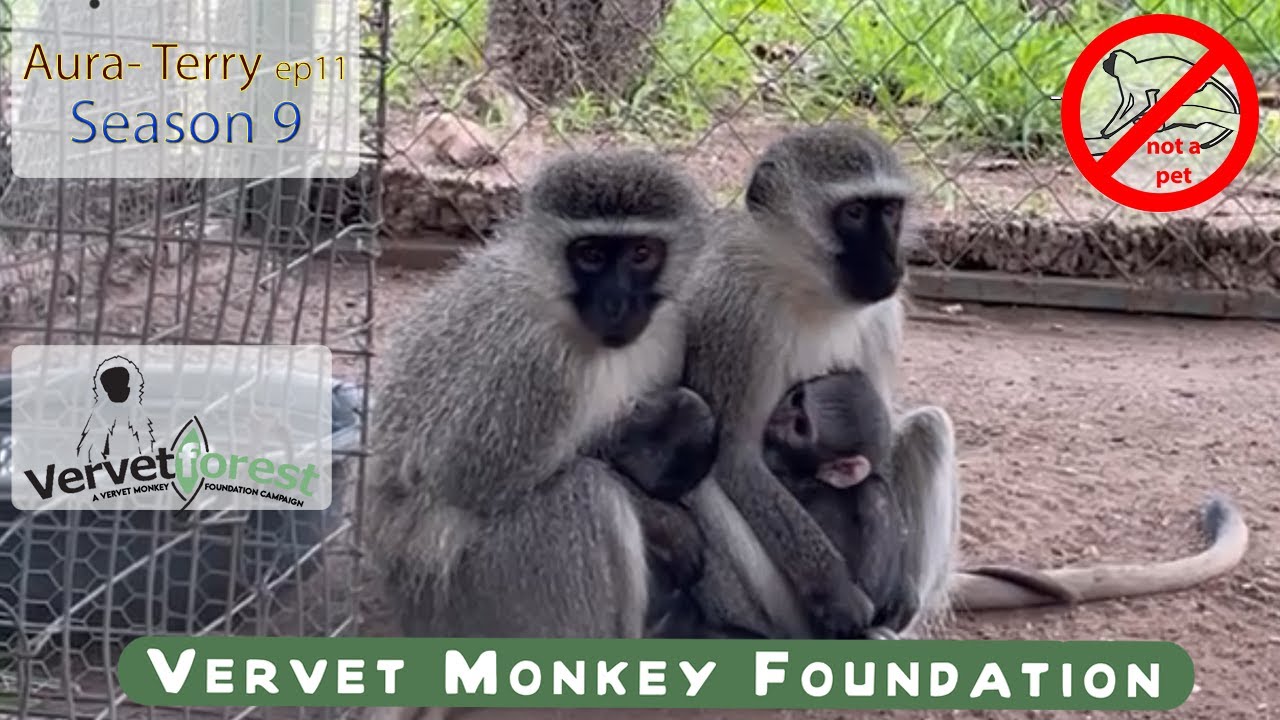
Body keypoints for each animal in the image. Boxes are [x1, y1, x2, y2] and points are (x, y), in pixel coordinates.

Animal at [363, 147, 711, 650]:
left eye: (642, 254)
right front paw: (665, 520)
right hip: (471, 598)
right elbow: (467, 479)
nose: (617, 304)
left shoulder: (670, 330)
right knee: (584, 494)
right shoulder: (536, 362)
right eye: (590, 255)